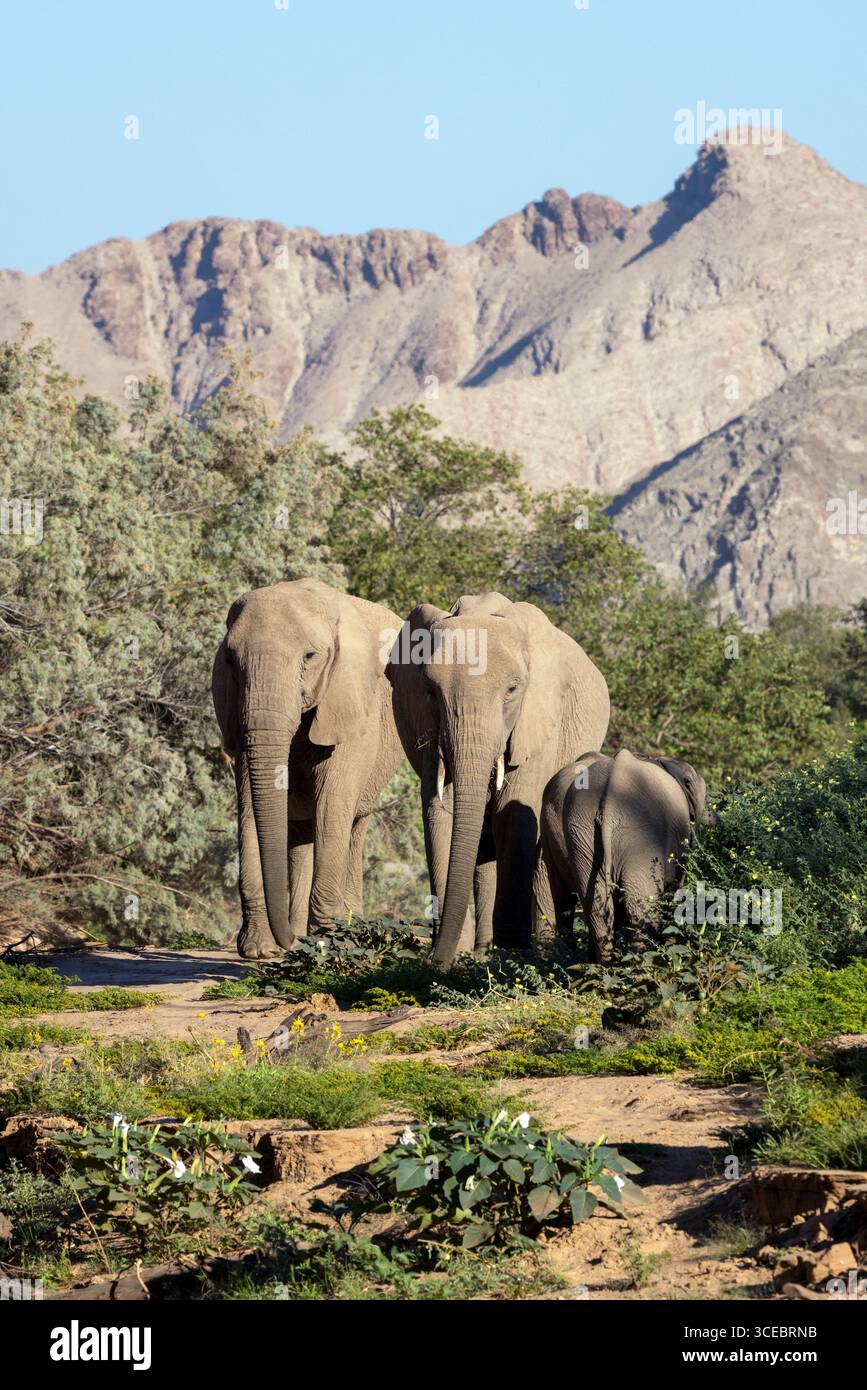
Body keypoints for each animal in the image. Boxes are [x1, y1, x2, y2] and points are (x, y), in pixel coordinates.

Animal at [212, 578, 404, 959]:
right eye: (230, 660)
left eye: (310, 656)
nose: (284, 940)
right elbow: (248, 804)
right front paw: (259, 950)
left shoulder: (352, 706)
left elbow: (332, 804)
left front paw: (328, 945)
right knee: (301, 833)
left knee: (353, 826)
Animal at [386, 592, 610, 968]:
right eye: (430, 691)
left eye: (512, 690)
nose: (433, 962)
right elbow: (439, 813)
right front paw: (455, 951)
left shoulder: (537, 723)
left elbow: (514, 815)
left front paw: (511, 949)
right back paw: (482, 951)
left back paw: (538, 948)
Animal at [534, 748, 709, 964]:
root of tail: (608, 805)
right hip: (638, 837)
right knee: (641, 911)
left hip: (580, 833)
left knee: (594, 910)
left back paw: (601, 968)